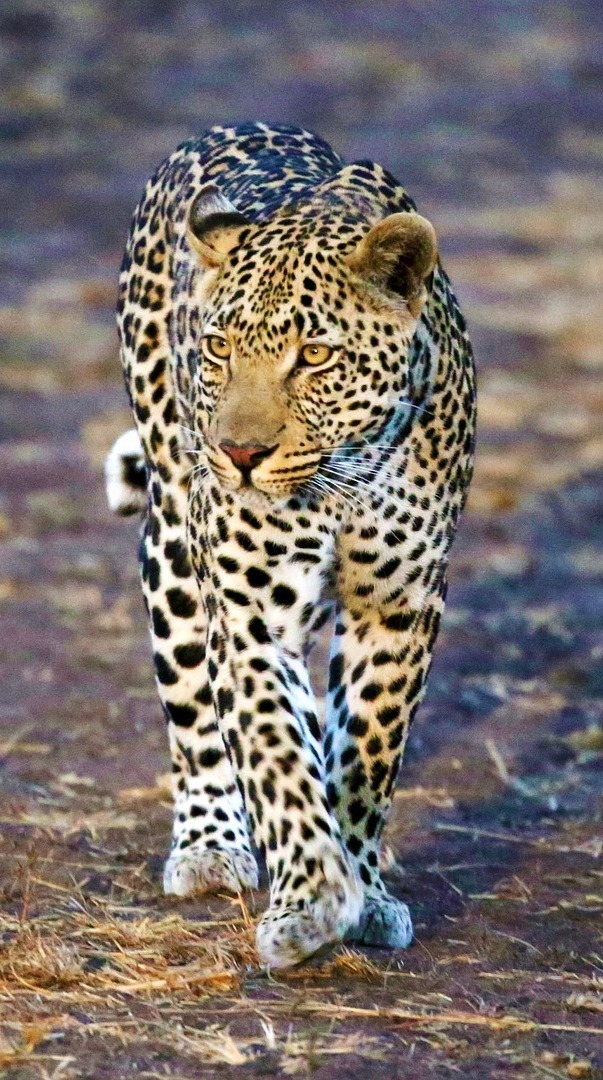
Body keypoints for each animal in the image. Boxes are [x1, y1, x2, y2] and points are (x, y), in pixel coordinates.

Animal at [105, 122, 476, 969]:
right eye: (217, 349)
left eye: (314, 356)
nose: (238, 453)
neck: (341, 474)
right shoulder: (249, 616)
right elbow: (274, 751)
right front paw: (310, 900)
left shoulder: (399, 611)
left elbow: (364, 756)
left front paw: (361, 889)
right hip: (174, 548)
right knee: (196, 712)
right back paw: (210, 845)